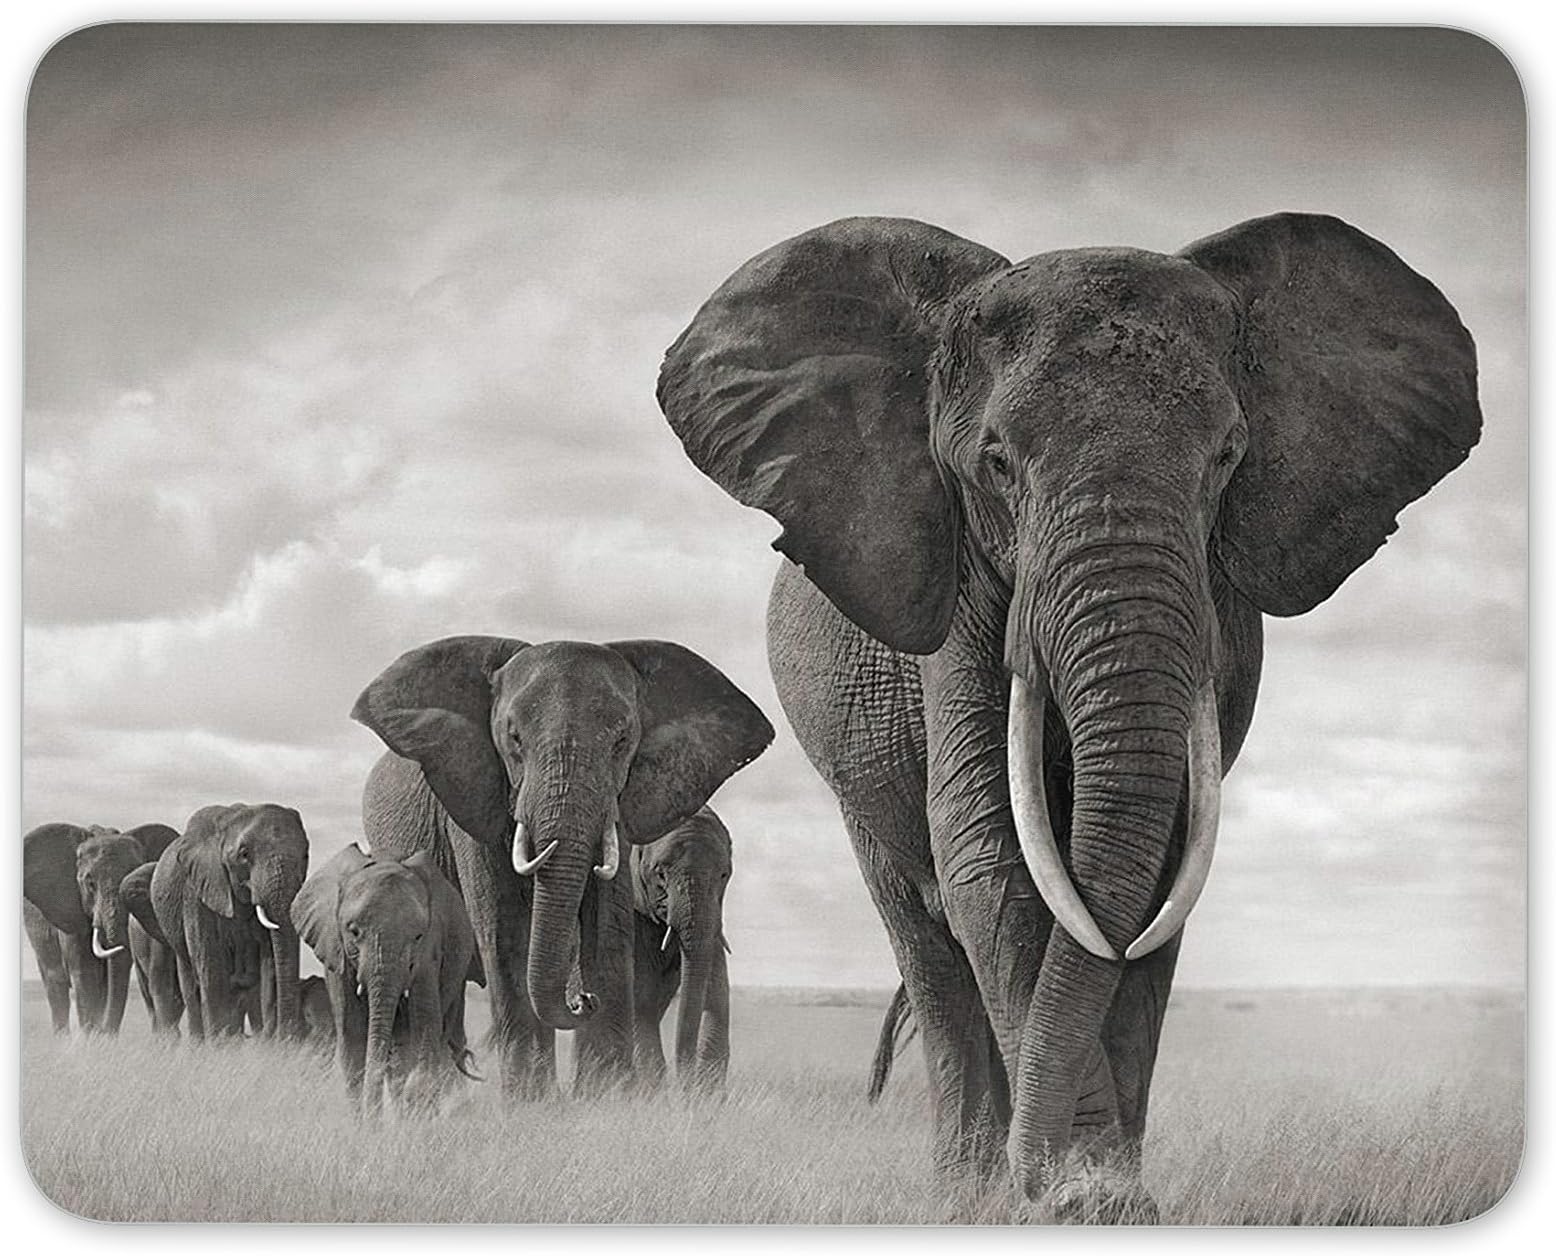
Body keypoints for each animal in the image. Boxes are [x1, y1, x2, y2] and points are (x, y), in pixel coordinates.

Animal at [23, 822, 179, 1035]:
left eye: (129, 879)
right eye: (90, 884)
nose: (105, 1032)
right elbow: (84, 973)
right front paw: (92, 1038)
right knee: (55, 986)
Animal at [149, 803, 310, 1042]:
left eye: (306, 855)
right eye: (244, 854)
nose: (288, 1039)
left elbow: (269, 965)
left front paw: (267, 1046)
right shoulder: (197, 892)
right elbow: (210, 964)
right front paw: (218, 1046)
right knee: (191, 982)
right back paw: (201, 1042)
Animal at [291, 843, 483, 1115]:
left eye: (418, 936)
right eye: (354, 931)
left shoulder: (429, 952)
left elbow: (423, 1029)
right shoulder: (335, 949)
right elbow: (353, 1037)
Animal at [629, 805, 733, 1092]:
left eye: (724, 874)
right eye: (660, 874)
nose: (683, 1084)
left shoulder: (713, 923)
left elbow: (718, 998)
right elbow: (640, 1004)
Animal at [656, 212, 1480, 1214]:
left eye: (1228, 457)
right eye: (997, 463)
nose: (1048, 1180)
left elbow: (1163, 866)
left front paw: (1108, 1199)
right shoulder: (962, 591)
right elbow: (991, 856)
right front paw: (1080, 1199)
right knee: (927, 943)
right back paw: (967, 1191)